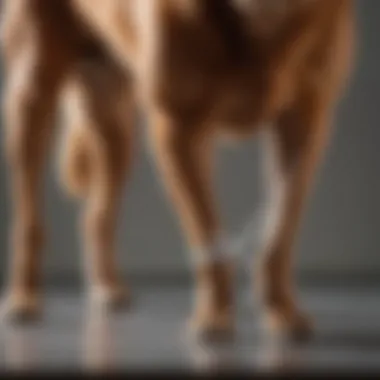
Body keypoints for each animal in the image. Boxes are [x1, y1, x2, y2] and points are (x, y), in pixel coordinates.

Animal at [1, 0, 354, 342]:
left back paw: (106, 287)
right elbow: (206, 233)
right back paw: (24, 297)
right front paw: (215, 315)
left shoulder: (305, 125)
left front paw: (281, 311)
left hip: (114, 124)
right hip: (31, 95)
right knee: (28, 218)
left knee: (97, 216)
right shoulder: (178, 130)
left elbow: (278, 232)